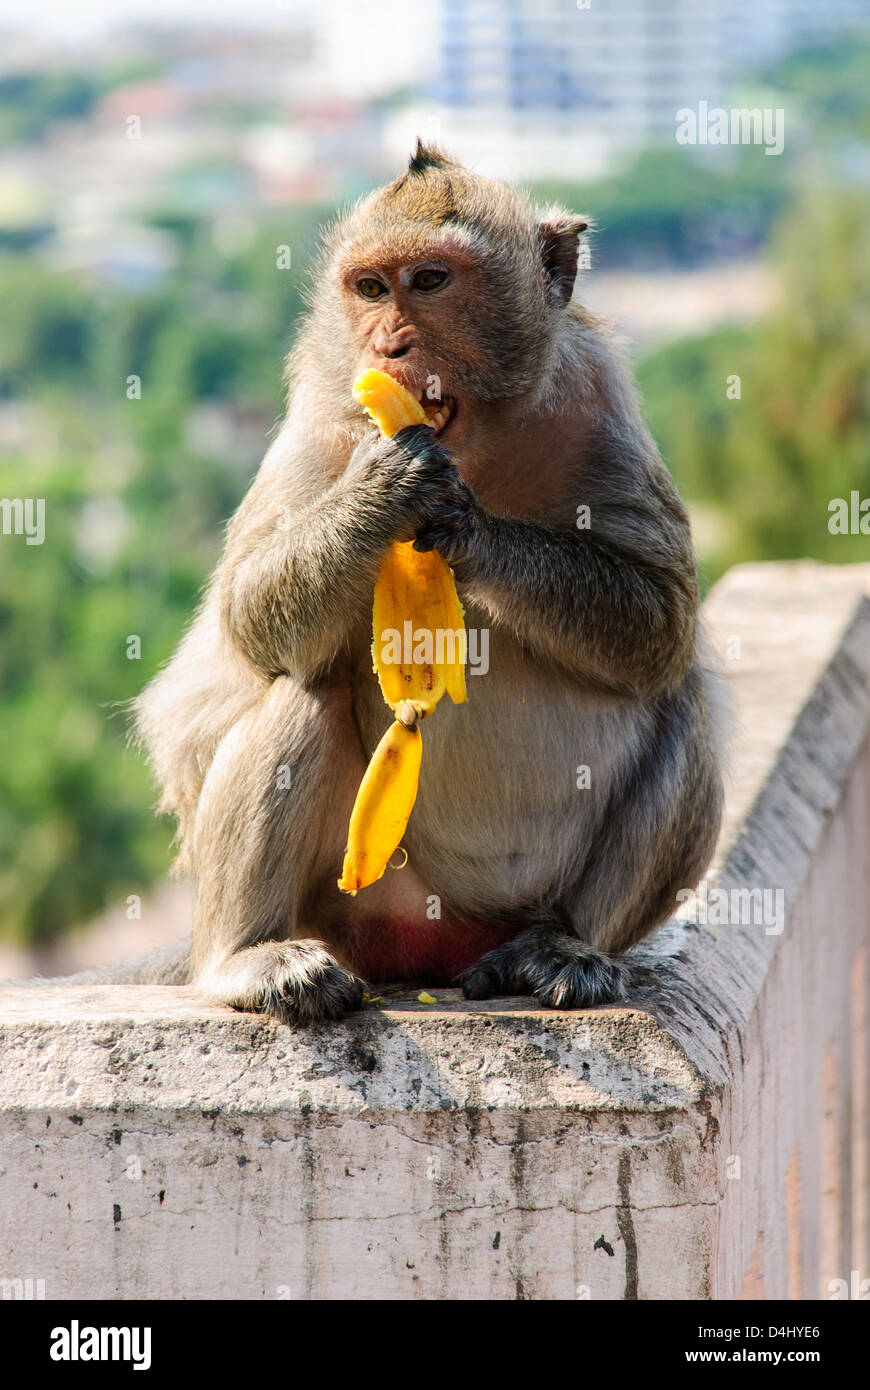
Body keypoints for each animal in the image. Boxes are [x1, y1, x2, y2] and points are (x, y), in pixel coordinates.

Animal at [69, 142, 726, 1023]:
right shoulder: (322, 417)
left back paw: (562, 948)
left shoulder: (599, 397)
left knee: (678, 699)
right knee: (302, 690)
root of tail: (436, 949)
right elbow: (249, 616)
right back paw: (253, 958)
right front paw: (385, 494)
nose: (388, 344)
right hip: (351, 903)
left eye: (432, 280)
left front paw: (470, 531)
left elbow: (662, 620)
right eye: (372, 289)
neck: (479, 445)